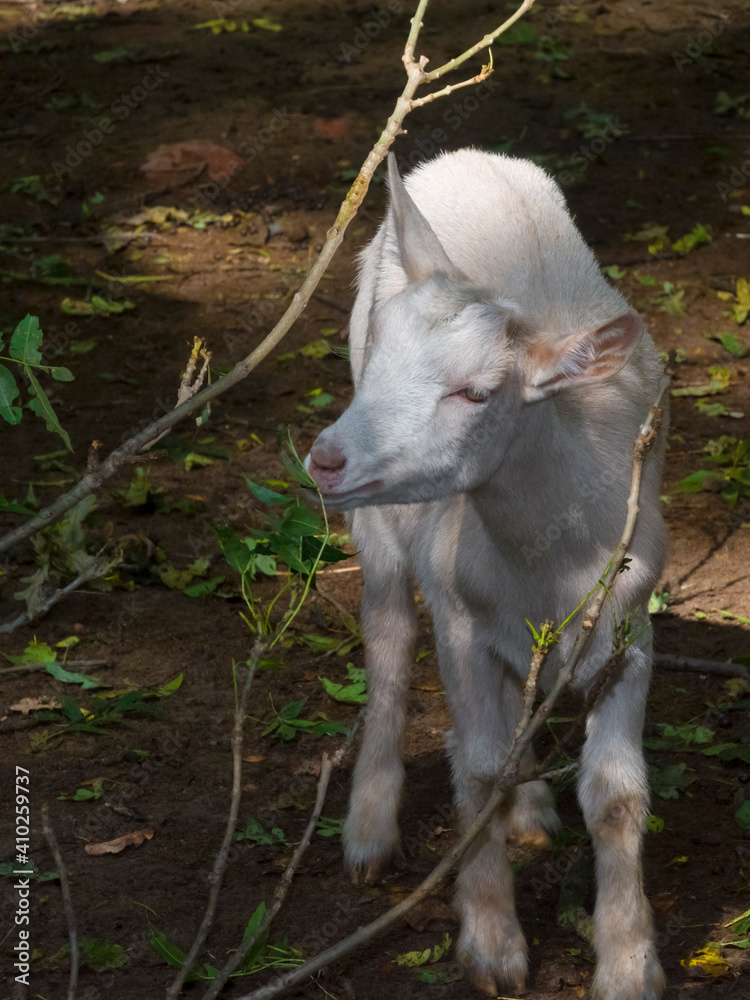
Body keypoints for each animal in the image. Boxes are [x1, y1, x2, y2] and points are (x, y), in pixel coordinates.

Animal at [307, 149, 668, 999]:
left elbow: (616, 795)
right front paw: (493, 944)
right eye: (378, 370)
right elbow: (472, 772)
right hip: (383, 531)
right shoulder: (461, 616)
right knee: (389, 638)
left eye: (474, 393)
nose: (326, 460)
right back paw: (370, 828)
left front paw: (628, 962)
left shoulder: (630, 627)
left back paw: (530, 801)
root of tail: (464, 159)